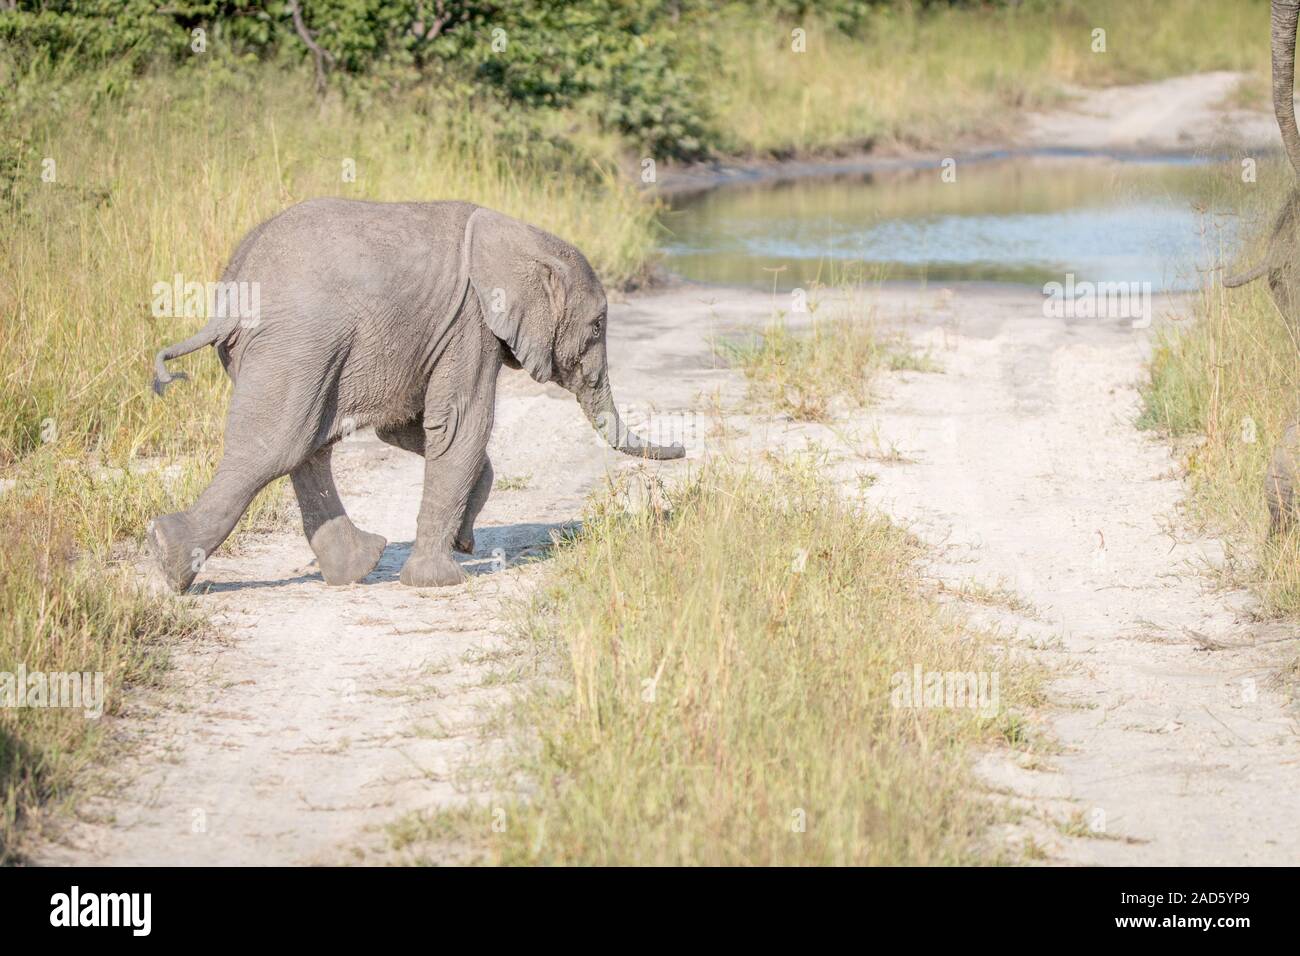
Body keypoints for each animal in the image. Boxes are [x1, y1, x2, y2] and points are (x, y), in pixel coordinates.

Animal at [147, 199, 684, 592]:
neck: (519, 236)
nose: (683, 448)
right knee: (277, 446)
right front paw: (439, 581)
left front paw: (463, 536)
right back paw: (170, 559)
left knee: (306, 445)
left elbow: (406, 427)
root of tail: (228, 297)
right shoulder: (470, 321)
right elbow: (459, 425)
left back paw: (355, 568)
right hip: (299, 340)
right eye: (596, 328)